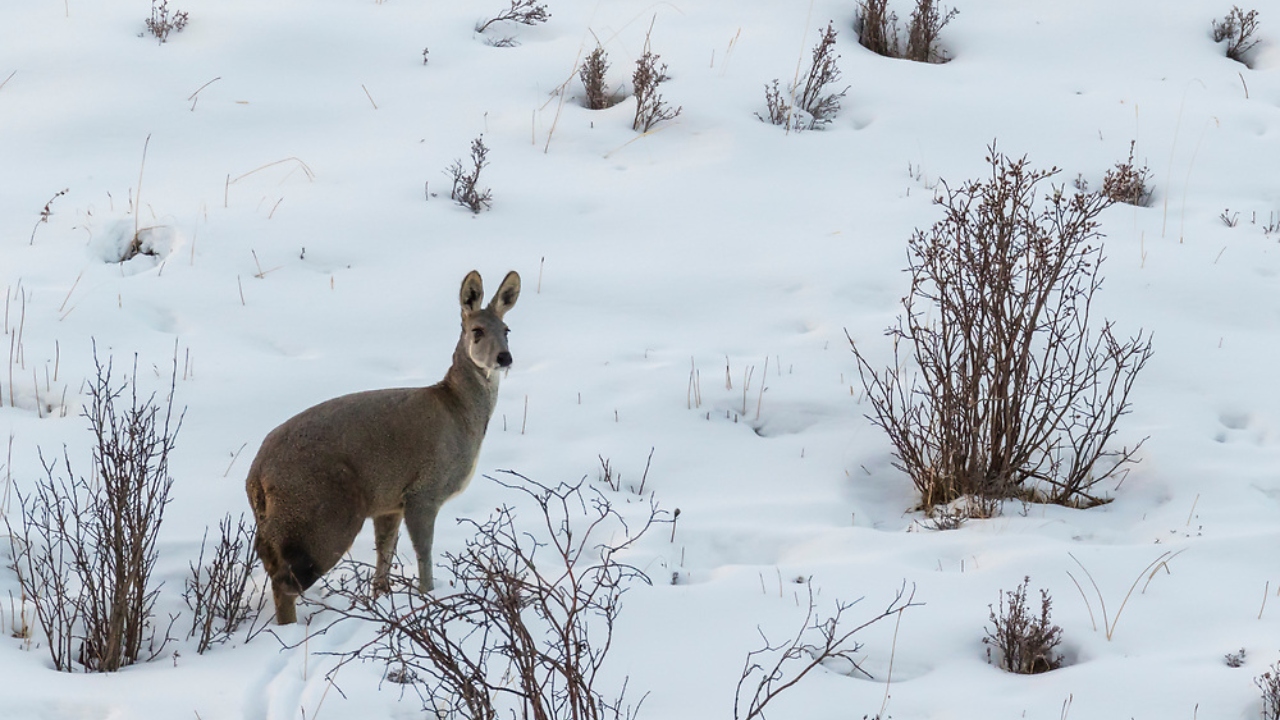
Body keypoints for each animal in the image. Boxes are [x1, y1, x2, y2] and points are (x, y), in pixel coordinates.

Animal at [246, 270, 520, 624]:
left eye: (507, 330)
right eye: (477, 331)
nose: (504, 357)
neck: (459, 413)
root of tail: (256, 477)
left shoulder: (389, 502)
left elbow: (384, 555)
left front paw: (382, 599)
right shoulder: (424, 490)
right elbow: (423, 553)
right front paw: (428, 598)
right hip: (324, 512)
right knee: (286, 581)